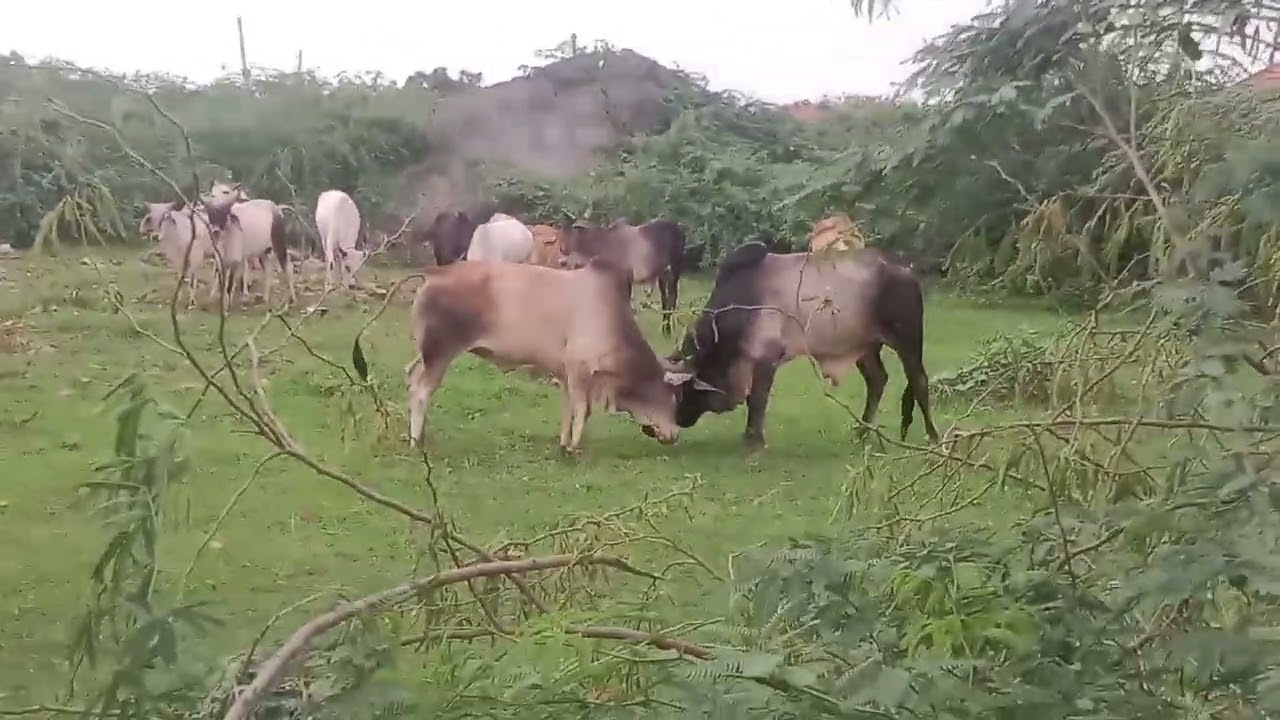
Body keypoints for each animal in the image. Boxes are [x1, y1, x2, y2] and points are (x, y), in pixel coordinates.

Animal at [404, 259, 693, 452]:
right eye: (675, 398)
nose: (675, 435)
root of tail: (435, 273)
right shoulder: (580, 370)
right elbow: (583, 410)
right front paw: (574, 448)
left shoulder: (567, 374)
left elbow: (569, 408)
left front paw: (564, 443)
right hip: (440, 353)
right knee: (421, 391)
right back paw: (417, 441)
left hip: (427, 355)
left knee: (413, 380)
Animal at [557, 218, 686, 338]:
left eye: (571, 234)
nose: (562, 252)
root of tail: (679, 229)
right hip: (662, 274)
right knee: (665, 299)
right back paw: (664, 328)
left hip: (675, 269)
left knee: (672, 297)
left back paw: (668, 330)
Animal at [659, 241, 941, 450]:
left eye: (682, 391)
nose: (679, 419)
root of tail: (905, 268)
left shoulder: (767, 358)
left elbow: (757, 401)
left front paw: (753, 441)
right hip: (866, 347)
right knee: (877, 380)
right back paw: (861, 432)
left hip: (908, 338)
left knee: (919, 381)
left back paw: (934, 437)